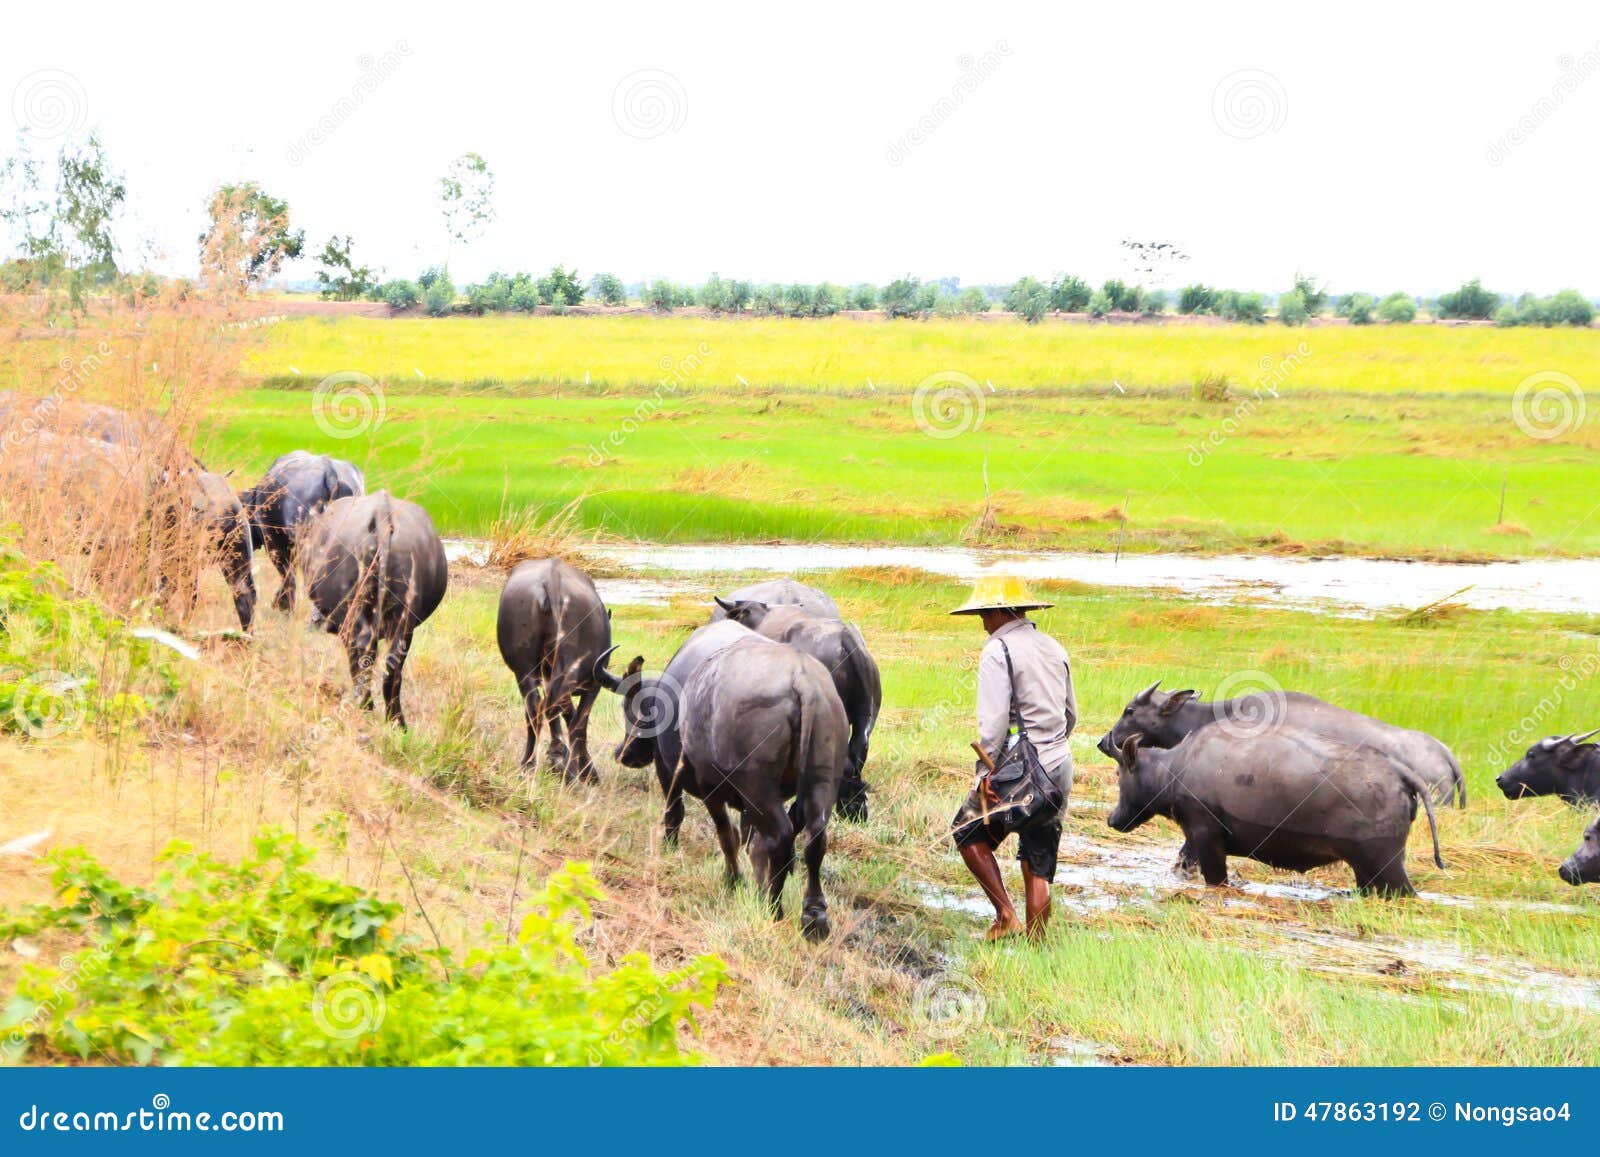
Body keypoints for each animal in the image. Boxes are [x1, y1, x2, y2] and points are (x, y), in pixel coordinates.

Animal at [298, 492, 447, 728]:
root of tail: (381, 512)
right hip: (403, 619)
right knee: (392, 668)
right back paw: (397, 722)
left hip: (353, 614)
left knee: (362, 653)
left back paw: (365, 707)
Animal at [496, 557, 617, 781]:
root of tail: (553, 579)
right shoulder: (593, 684)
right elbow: (577, 720)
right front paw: (587, 771)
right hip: (572, 667)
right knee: (564, 713)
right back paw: (569, 768)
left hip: (524, 669)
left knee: (536, 707)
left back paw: (530, 764)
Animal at [676, 636, 848, 939]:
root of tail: (803, 679)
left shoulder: (710, 787)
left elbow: (728, 834)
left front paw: (734, 879)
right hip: (824, 776)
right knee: (814, 838)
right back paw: (814, 915)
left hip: (757, 785)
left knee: (779, 838)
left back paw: (773, 908)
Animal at [1108, 726, 1444, 897]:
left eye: (1118, 773)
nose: (1112, 819)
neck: (1178, 767)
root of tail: (1399, 771)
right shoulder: (1192, 840)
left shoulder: (1206, 838)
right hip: (1365, 870)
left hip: (1386, 866)